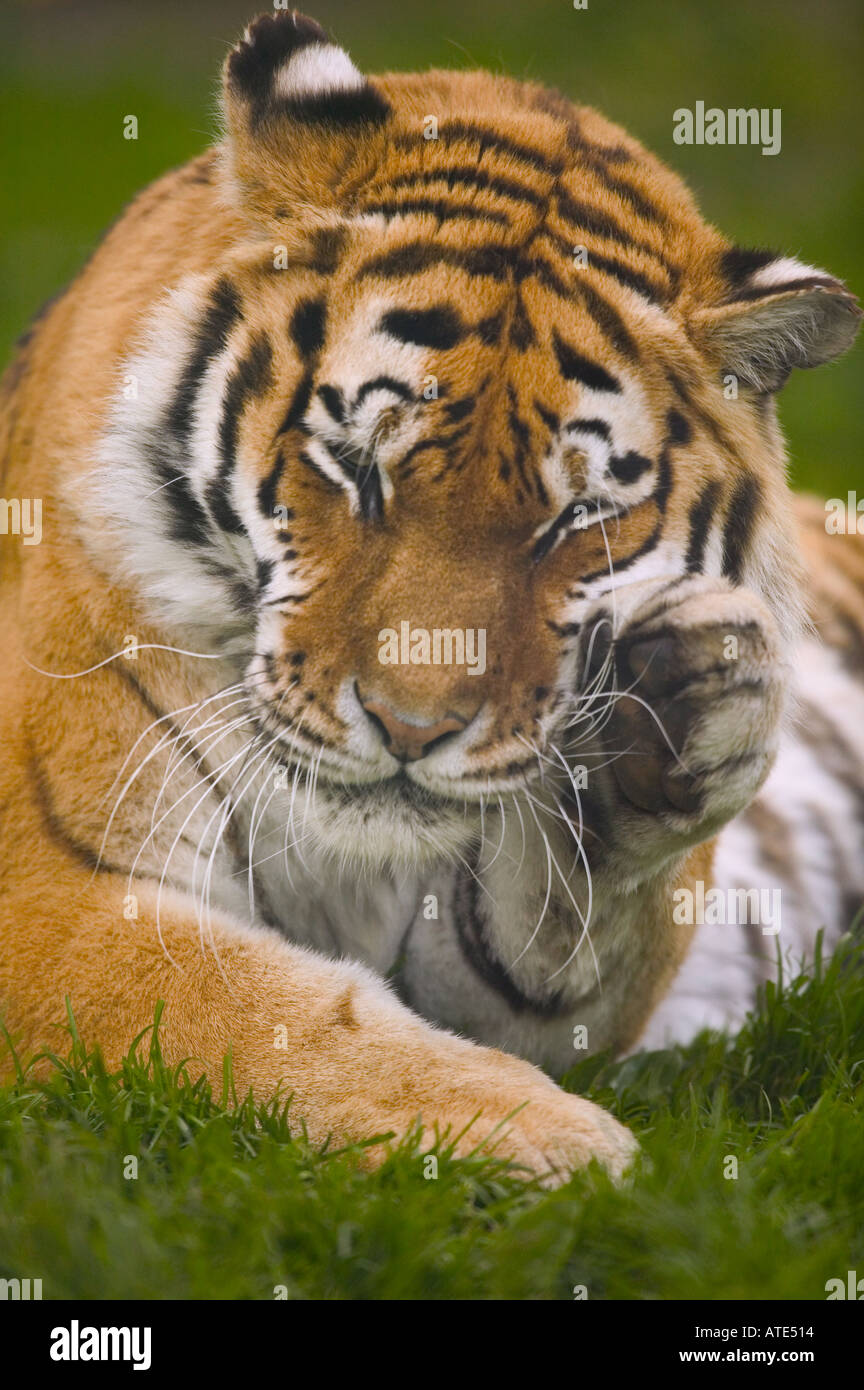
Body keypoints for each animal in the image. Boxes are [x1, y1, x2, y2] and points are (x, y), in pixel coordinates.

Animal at [1, 9, 862, 1184]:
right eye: (357, 466)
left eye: (577, 517)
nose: (410, 730)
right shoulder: (43, 888)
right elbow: (240, 1009)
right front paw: (549, 1141)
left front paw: (677, 714)